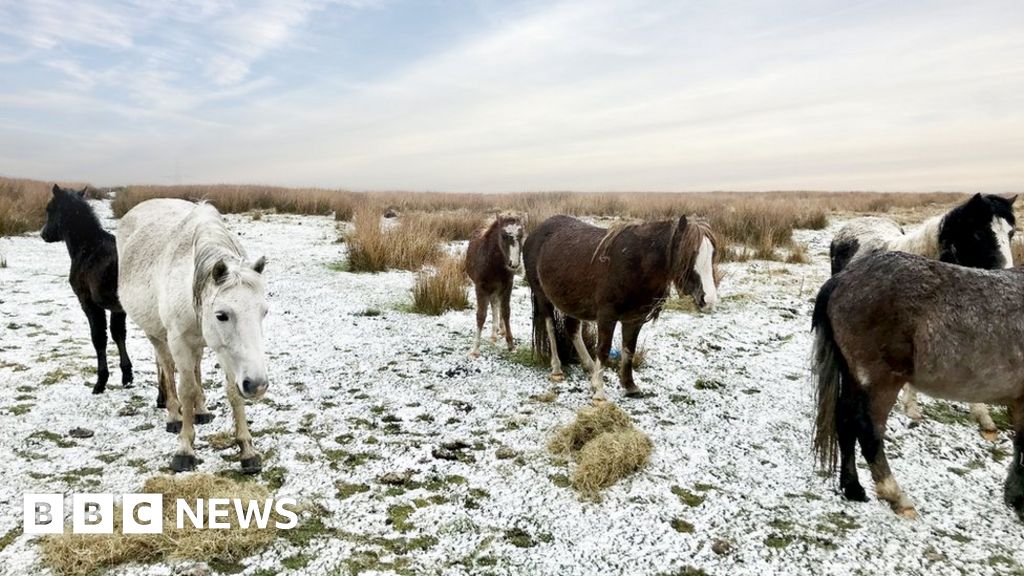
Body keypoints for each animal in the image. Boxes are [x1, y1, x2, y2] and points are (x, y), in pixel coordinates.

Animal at [41, 184, 134, 395]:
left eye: (50, 209)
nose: (44, 234)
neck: (89, 249)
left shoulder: (88, 301)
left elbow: (99, 337)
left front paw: (100, 382)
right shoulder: (118, 308)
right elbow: (118, 334)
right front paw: (127, 376)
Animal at [117, 199, 269, 474]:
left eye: (264, 312)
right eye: (222, 315)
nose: (258, 385)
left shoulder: (223, 351)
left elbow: (232, 391)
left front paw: (246, 449)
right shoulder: (179, 341)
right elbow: (186, 389)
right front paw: (185, 449)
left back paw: (201, 410)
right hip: (157, 335)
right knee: (166, 367)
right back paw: (174, 415)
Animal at [465, 214, 524, 357]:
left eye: (521, 235)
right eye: (503, 236)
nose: (514, 264)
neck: (493, 263)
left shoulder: (508, 285)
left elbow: (506, 312)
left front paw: (511, 345)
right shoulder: (480, 287)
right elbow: (481, 315)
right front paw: (475, 350)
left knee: (497, 305)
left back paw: (499, 330)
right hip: (491, 288)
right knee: (494, 304)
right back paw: (494, 334)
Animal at [524, 215, 719, 402]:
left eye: (712, 255)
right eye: (689, 254)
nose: (708, 299)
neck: (637, 264)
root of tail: (536, 232)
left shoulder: (634, 319)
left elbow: (629, 350)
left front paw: (629, 385)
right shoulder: (606, 317)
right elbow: (603, 349)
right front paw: (599, 392)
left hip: (572, 302)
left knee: (573, 330)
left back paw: (590, 367)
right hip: (542, 296)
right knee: (550, 327)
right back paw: (557, 369)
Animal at [812, 250, 1024, 520]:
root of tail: (842, 278)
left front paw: (1014, 496)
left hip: (853, 377)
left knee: (845, 421)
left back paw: (853, 488)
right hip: (881, 382)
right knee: (868, 431)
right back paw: (895, 495)